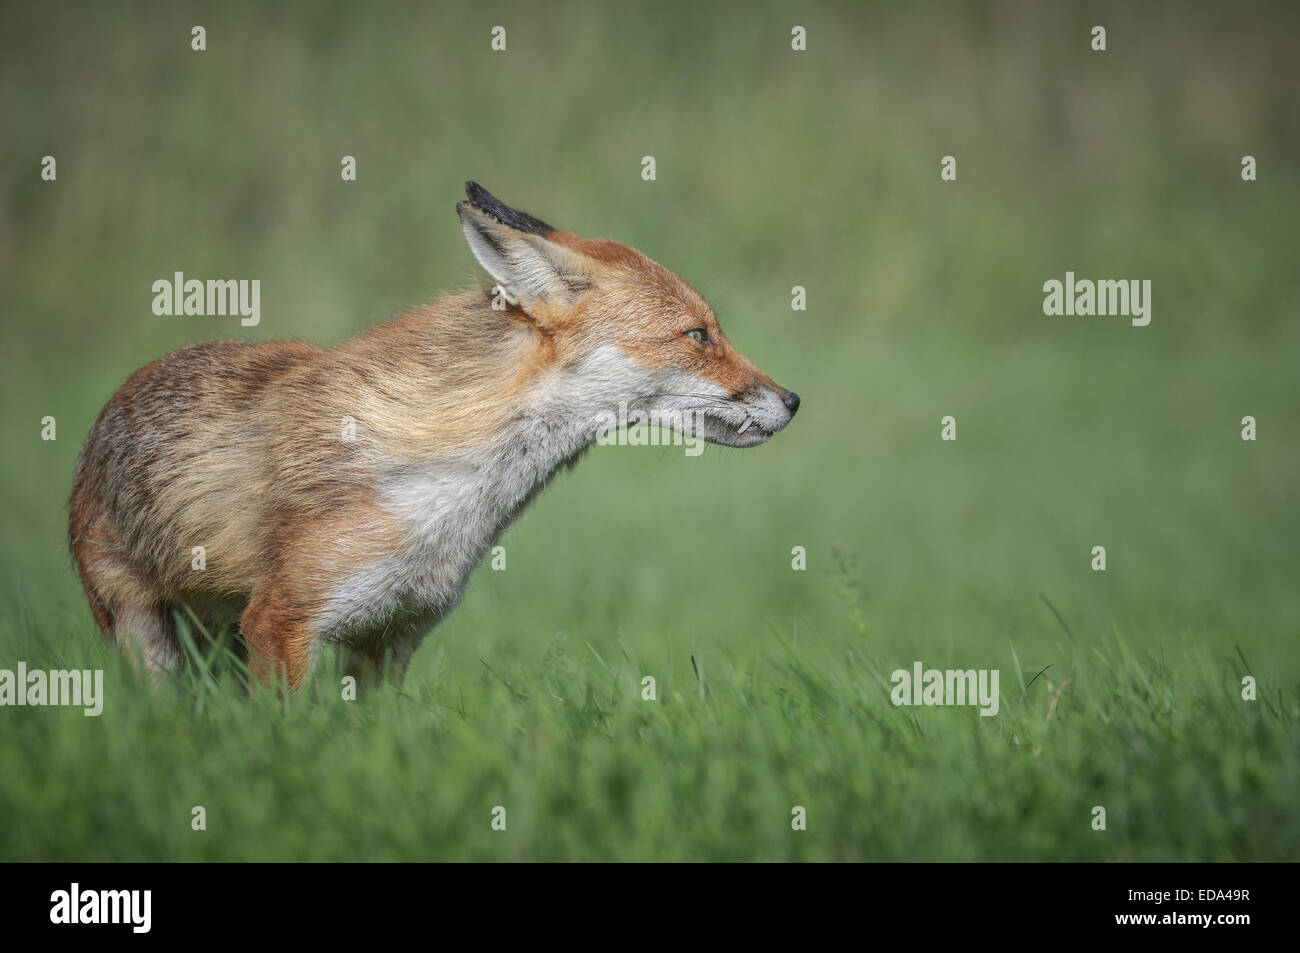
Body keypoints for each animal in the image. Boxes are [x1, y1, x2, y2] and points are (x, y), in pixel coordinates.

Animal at [68, 182, 800, 691]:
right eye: (698, 336)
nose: (793, 401)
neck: (450, 498)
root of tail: (111, 404)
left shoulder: (392, 637)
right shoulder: (281, 621)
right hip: (147, 639)